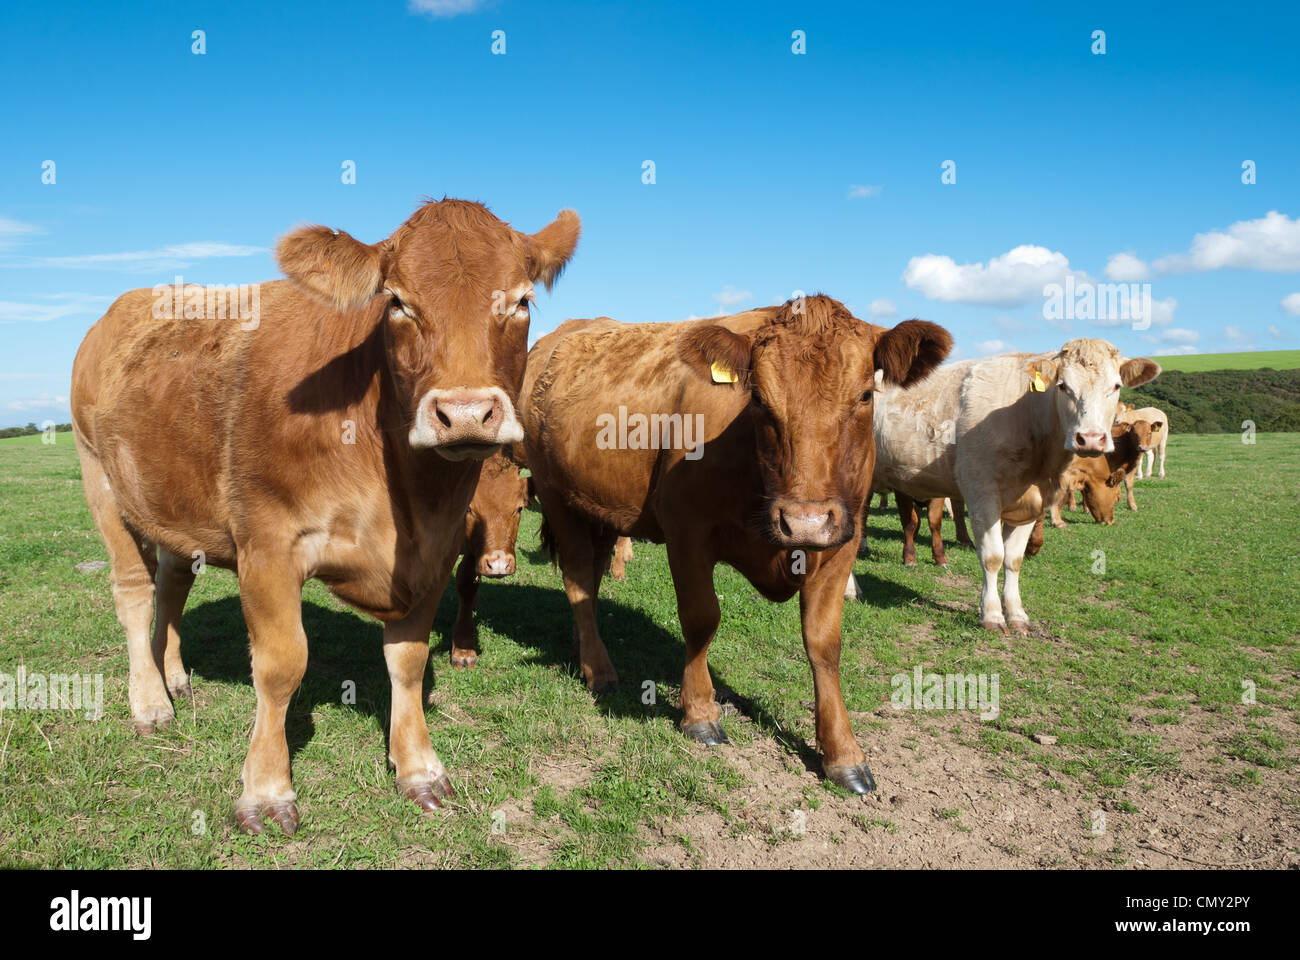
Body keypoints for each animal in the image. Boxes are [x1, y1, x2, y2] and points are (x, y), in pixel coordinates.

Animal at [449, 451, 529, 669]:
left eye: (519, 508)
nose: (499, 565)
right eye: (469, 508)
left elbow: (467, 583)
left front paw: (463, 649)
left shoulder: (473, 553)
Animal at [521, 296, 951, 794]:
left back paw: (583, 651)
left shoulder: (843, 542)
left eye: (865, 395)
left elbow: (824, 644)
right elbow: (701, 619)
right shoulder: (687, 531)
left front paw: (843, 753)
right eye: (759, 400)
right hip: (556, 497)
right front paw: (700, 713)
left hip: (600, 507)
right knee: (577, 581)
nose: (804, 521)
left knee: (590, 582)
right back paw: (600, 670)